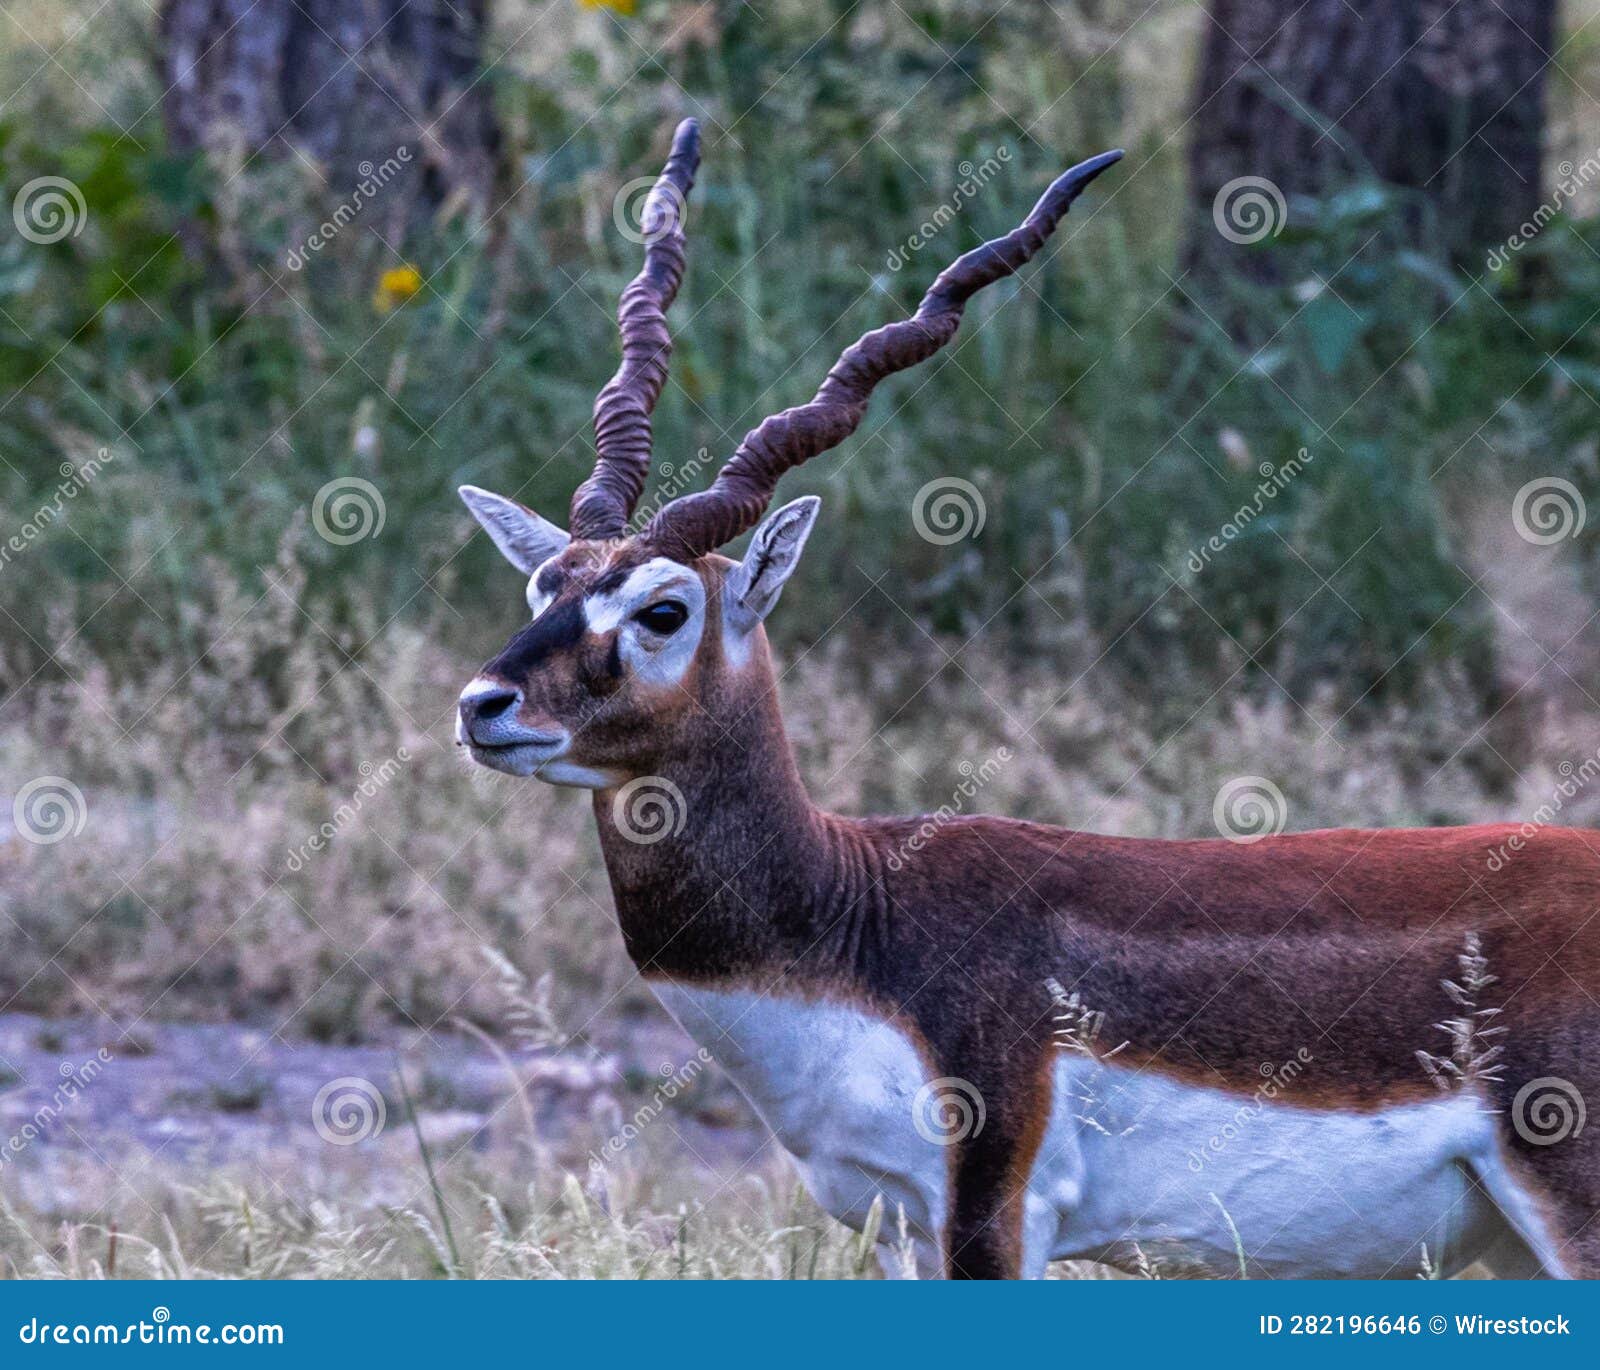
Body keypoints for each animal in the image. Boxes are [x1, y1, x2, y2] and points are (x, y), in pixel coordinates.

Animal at [455, 120, 1598, 1279]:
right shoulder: (894, 1224)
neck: (851, 919)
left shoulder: (993, 1211)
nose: (483, 704)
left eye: (663, 609)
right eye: (545, 586)